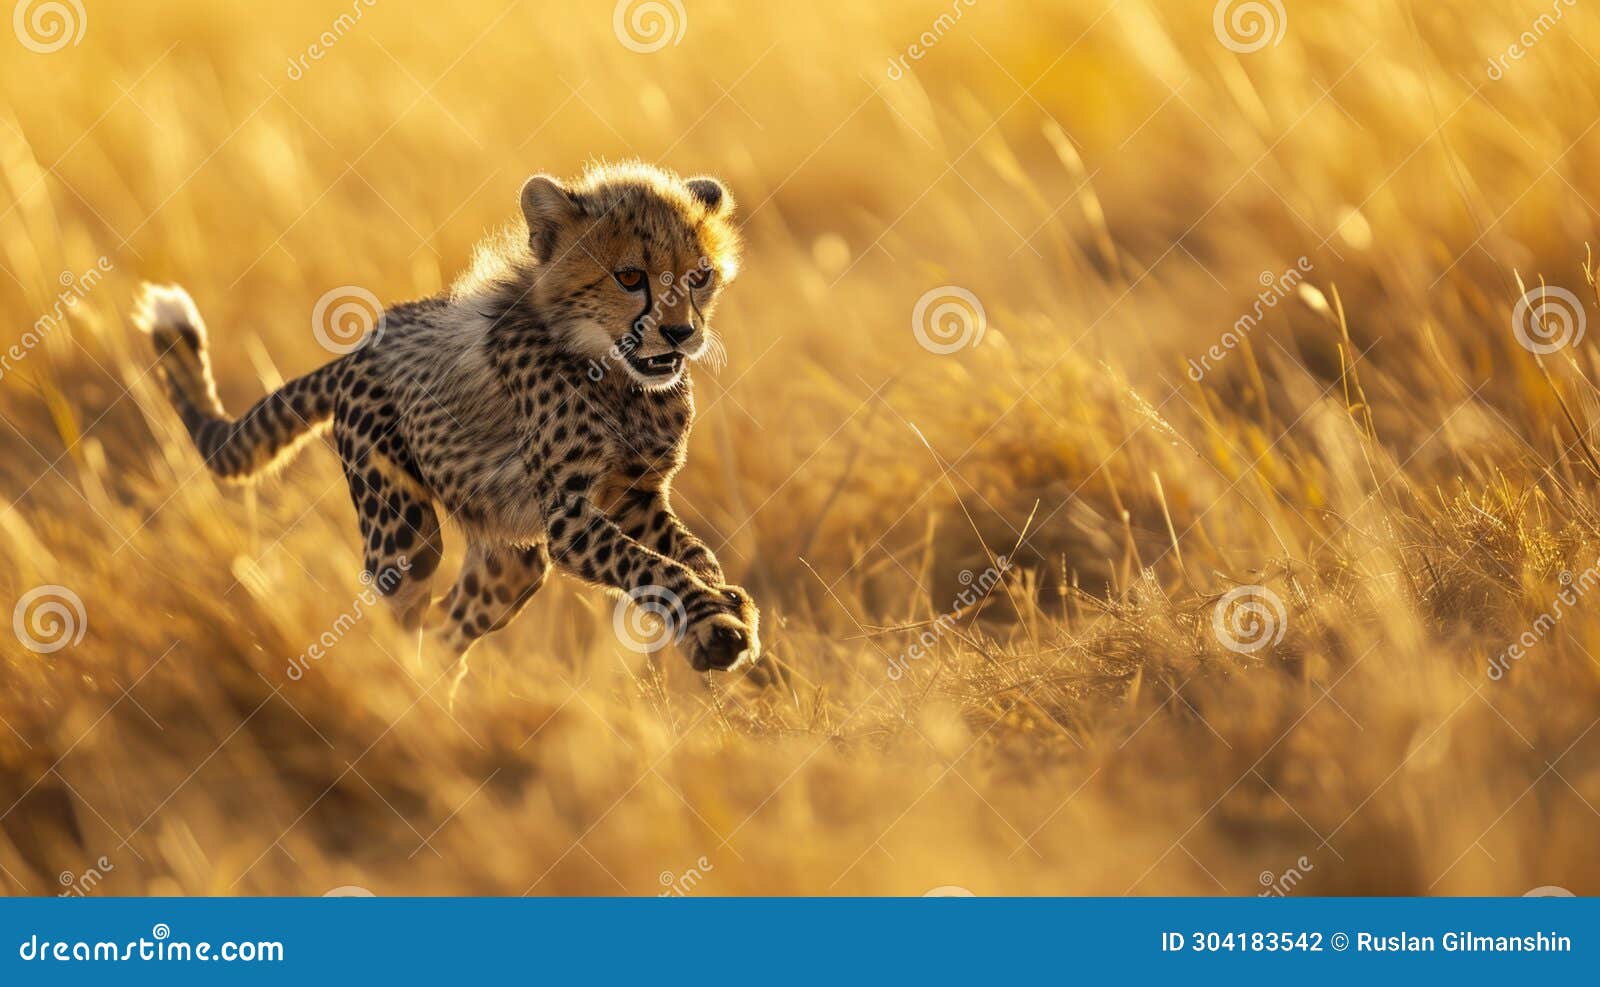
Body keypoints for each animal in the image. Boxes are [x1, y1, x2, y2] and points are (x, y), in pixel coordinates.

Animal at [130, 161, 761, 688]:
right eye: (630, 277)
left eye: (700, 276)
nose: (680, 333)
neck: (618, 377)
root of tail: (365, 340)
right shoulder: (569, 520)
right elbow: (650, 565)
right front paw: (714, 619)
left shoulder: (634, 497)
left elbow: (688, 553)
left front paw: (725, 609)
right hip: (405, 534)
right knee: (406, 617)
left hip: (512, 560)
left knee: (445, 633)